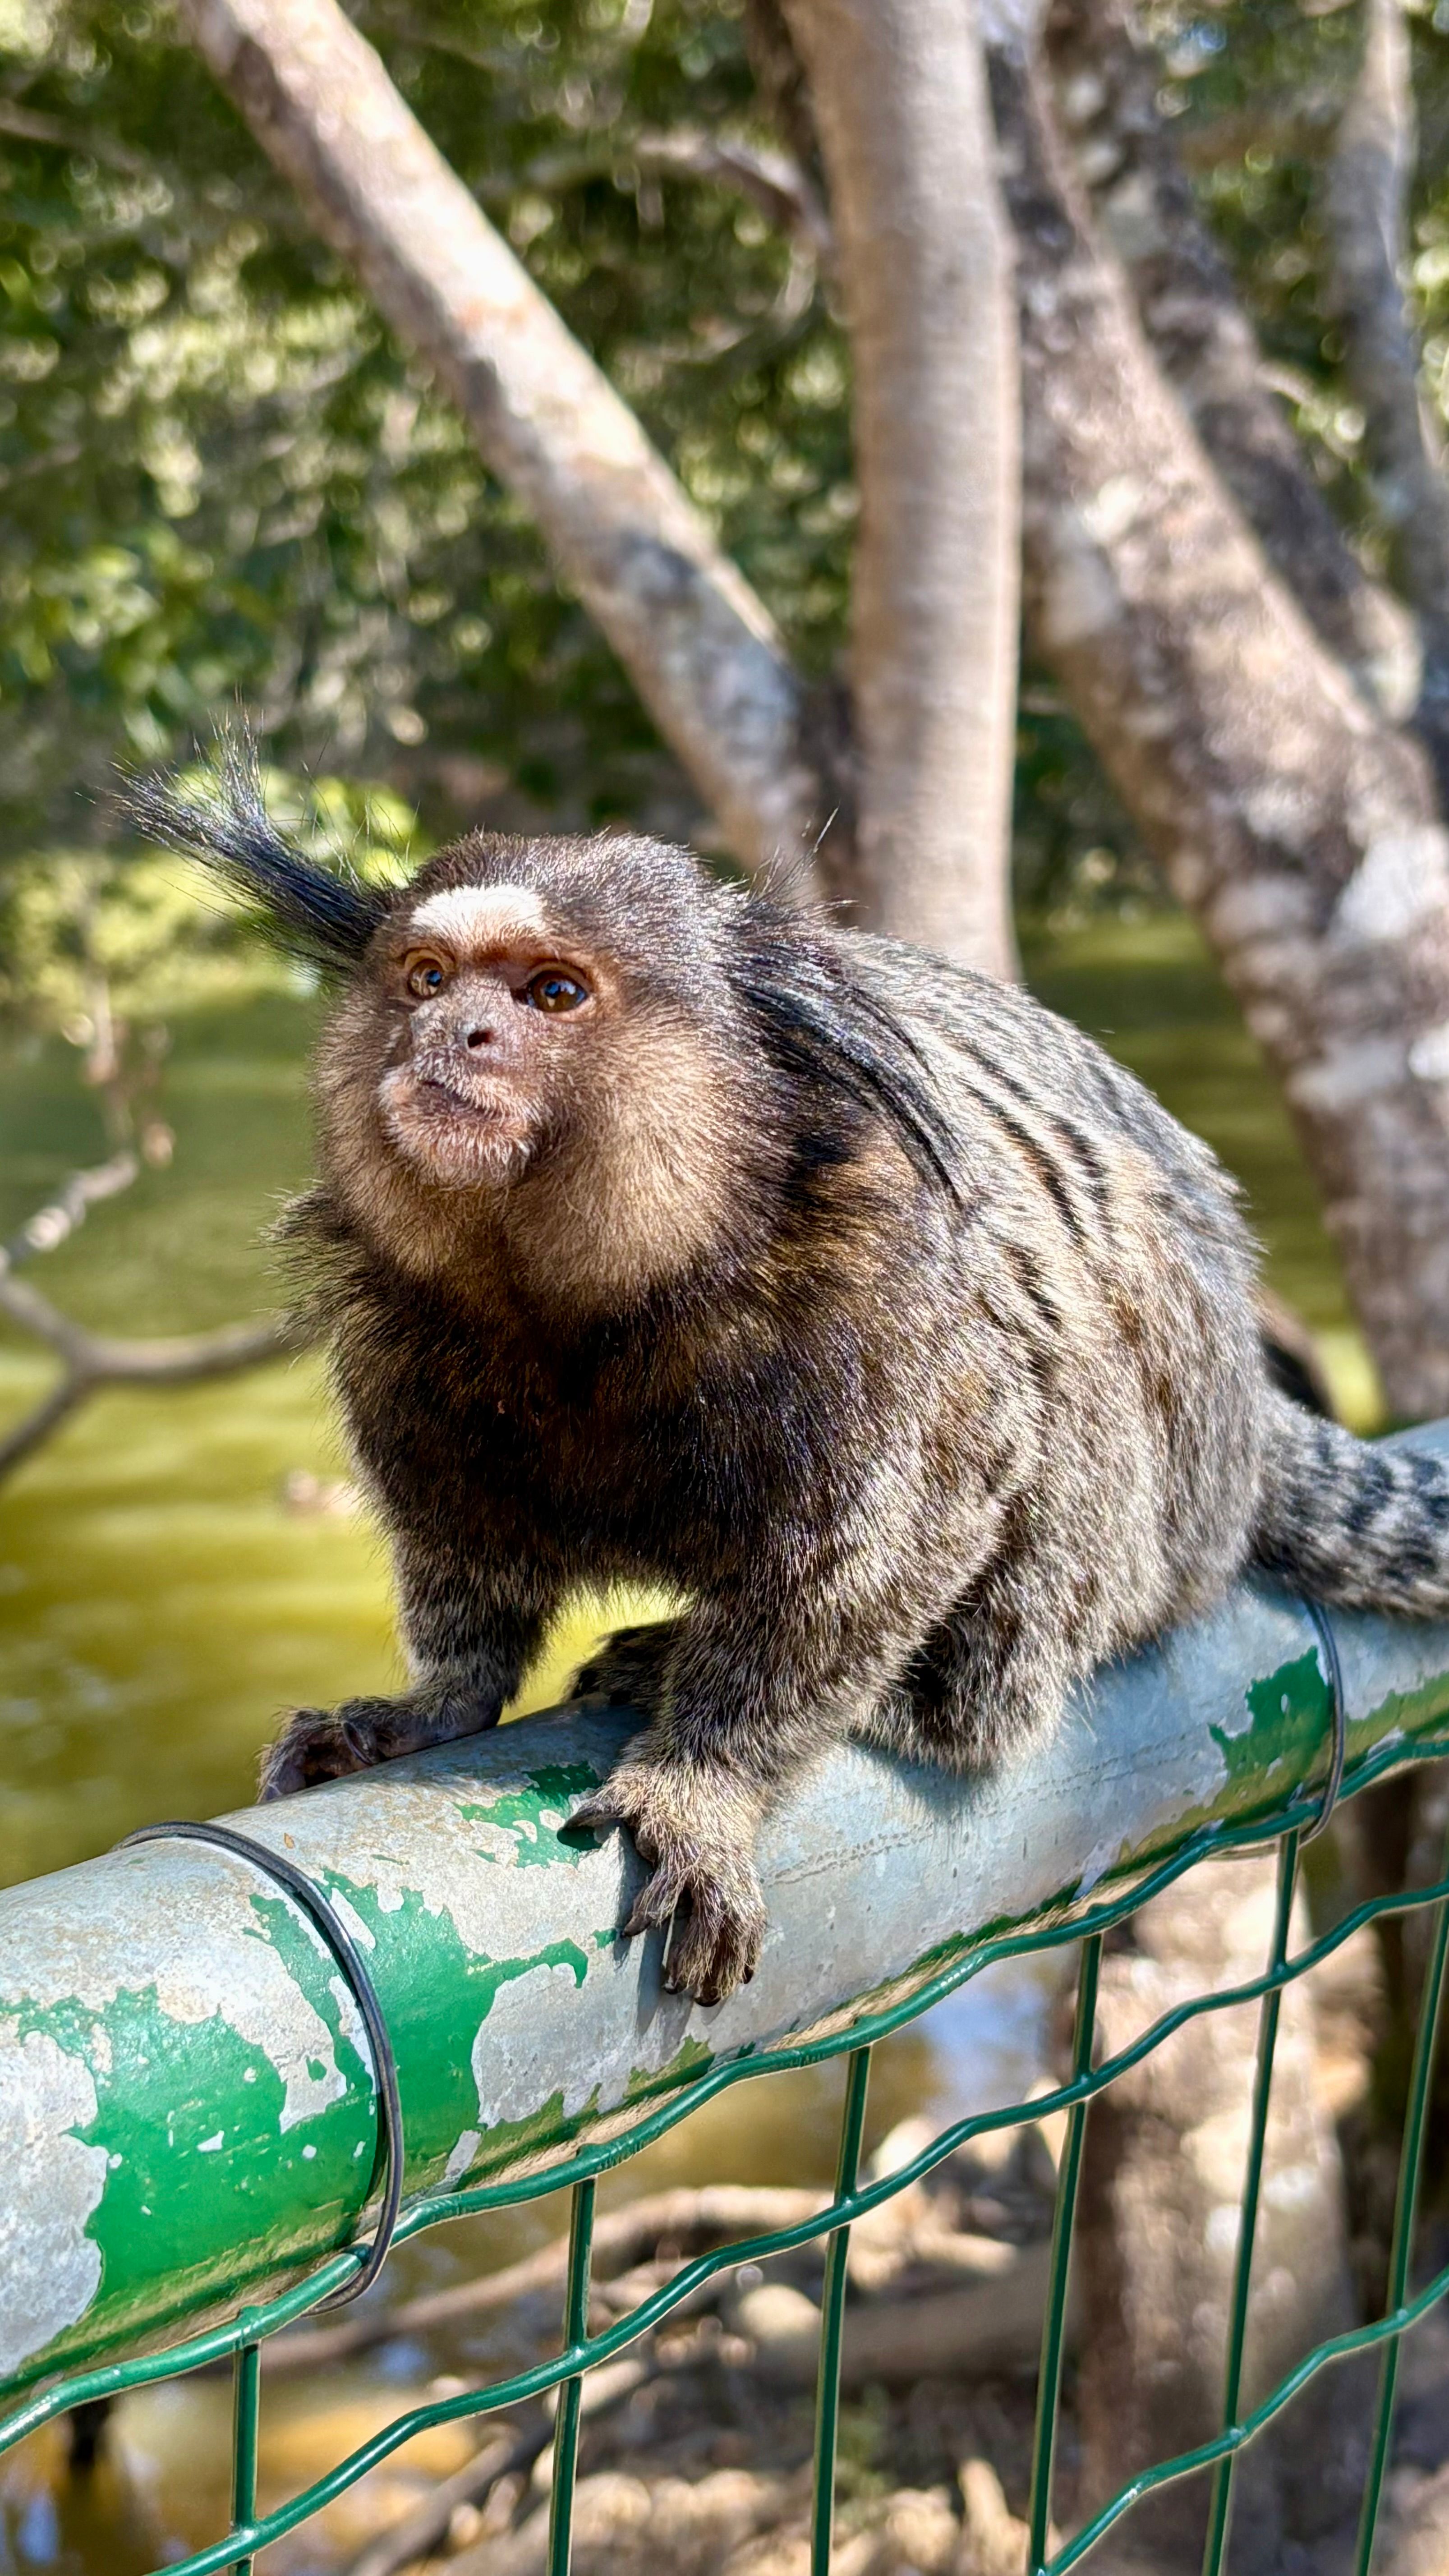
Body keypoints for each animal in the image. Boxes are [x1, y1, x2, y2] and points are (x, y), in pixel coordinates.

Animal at [133, 746, 1449, 2006]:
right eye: (424, 979)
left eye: (551, 992)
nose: (454, 1039)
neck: (587, 1308)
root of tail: (1245, 1421)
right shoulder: (406, 1346)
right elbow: (462, 1553)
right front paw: (440, 1701)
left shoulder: (882, 1300)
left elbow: (898, 1538)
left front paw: (705, 1782)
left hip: (1151, 1519)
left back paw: (906, 1701)